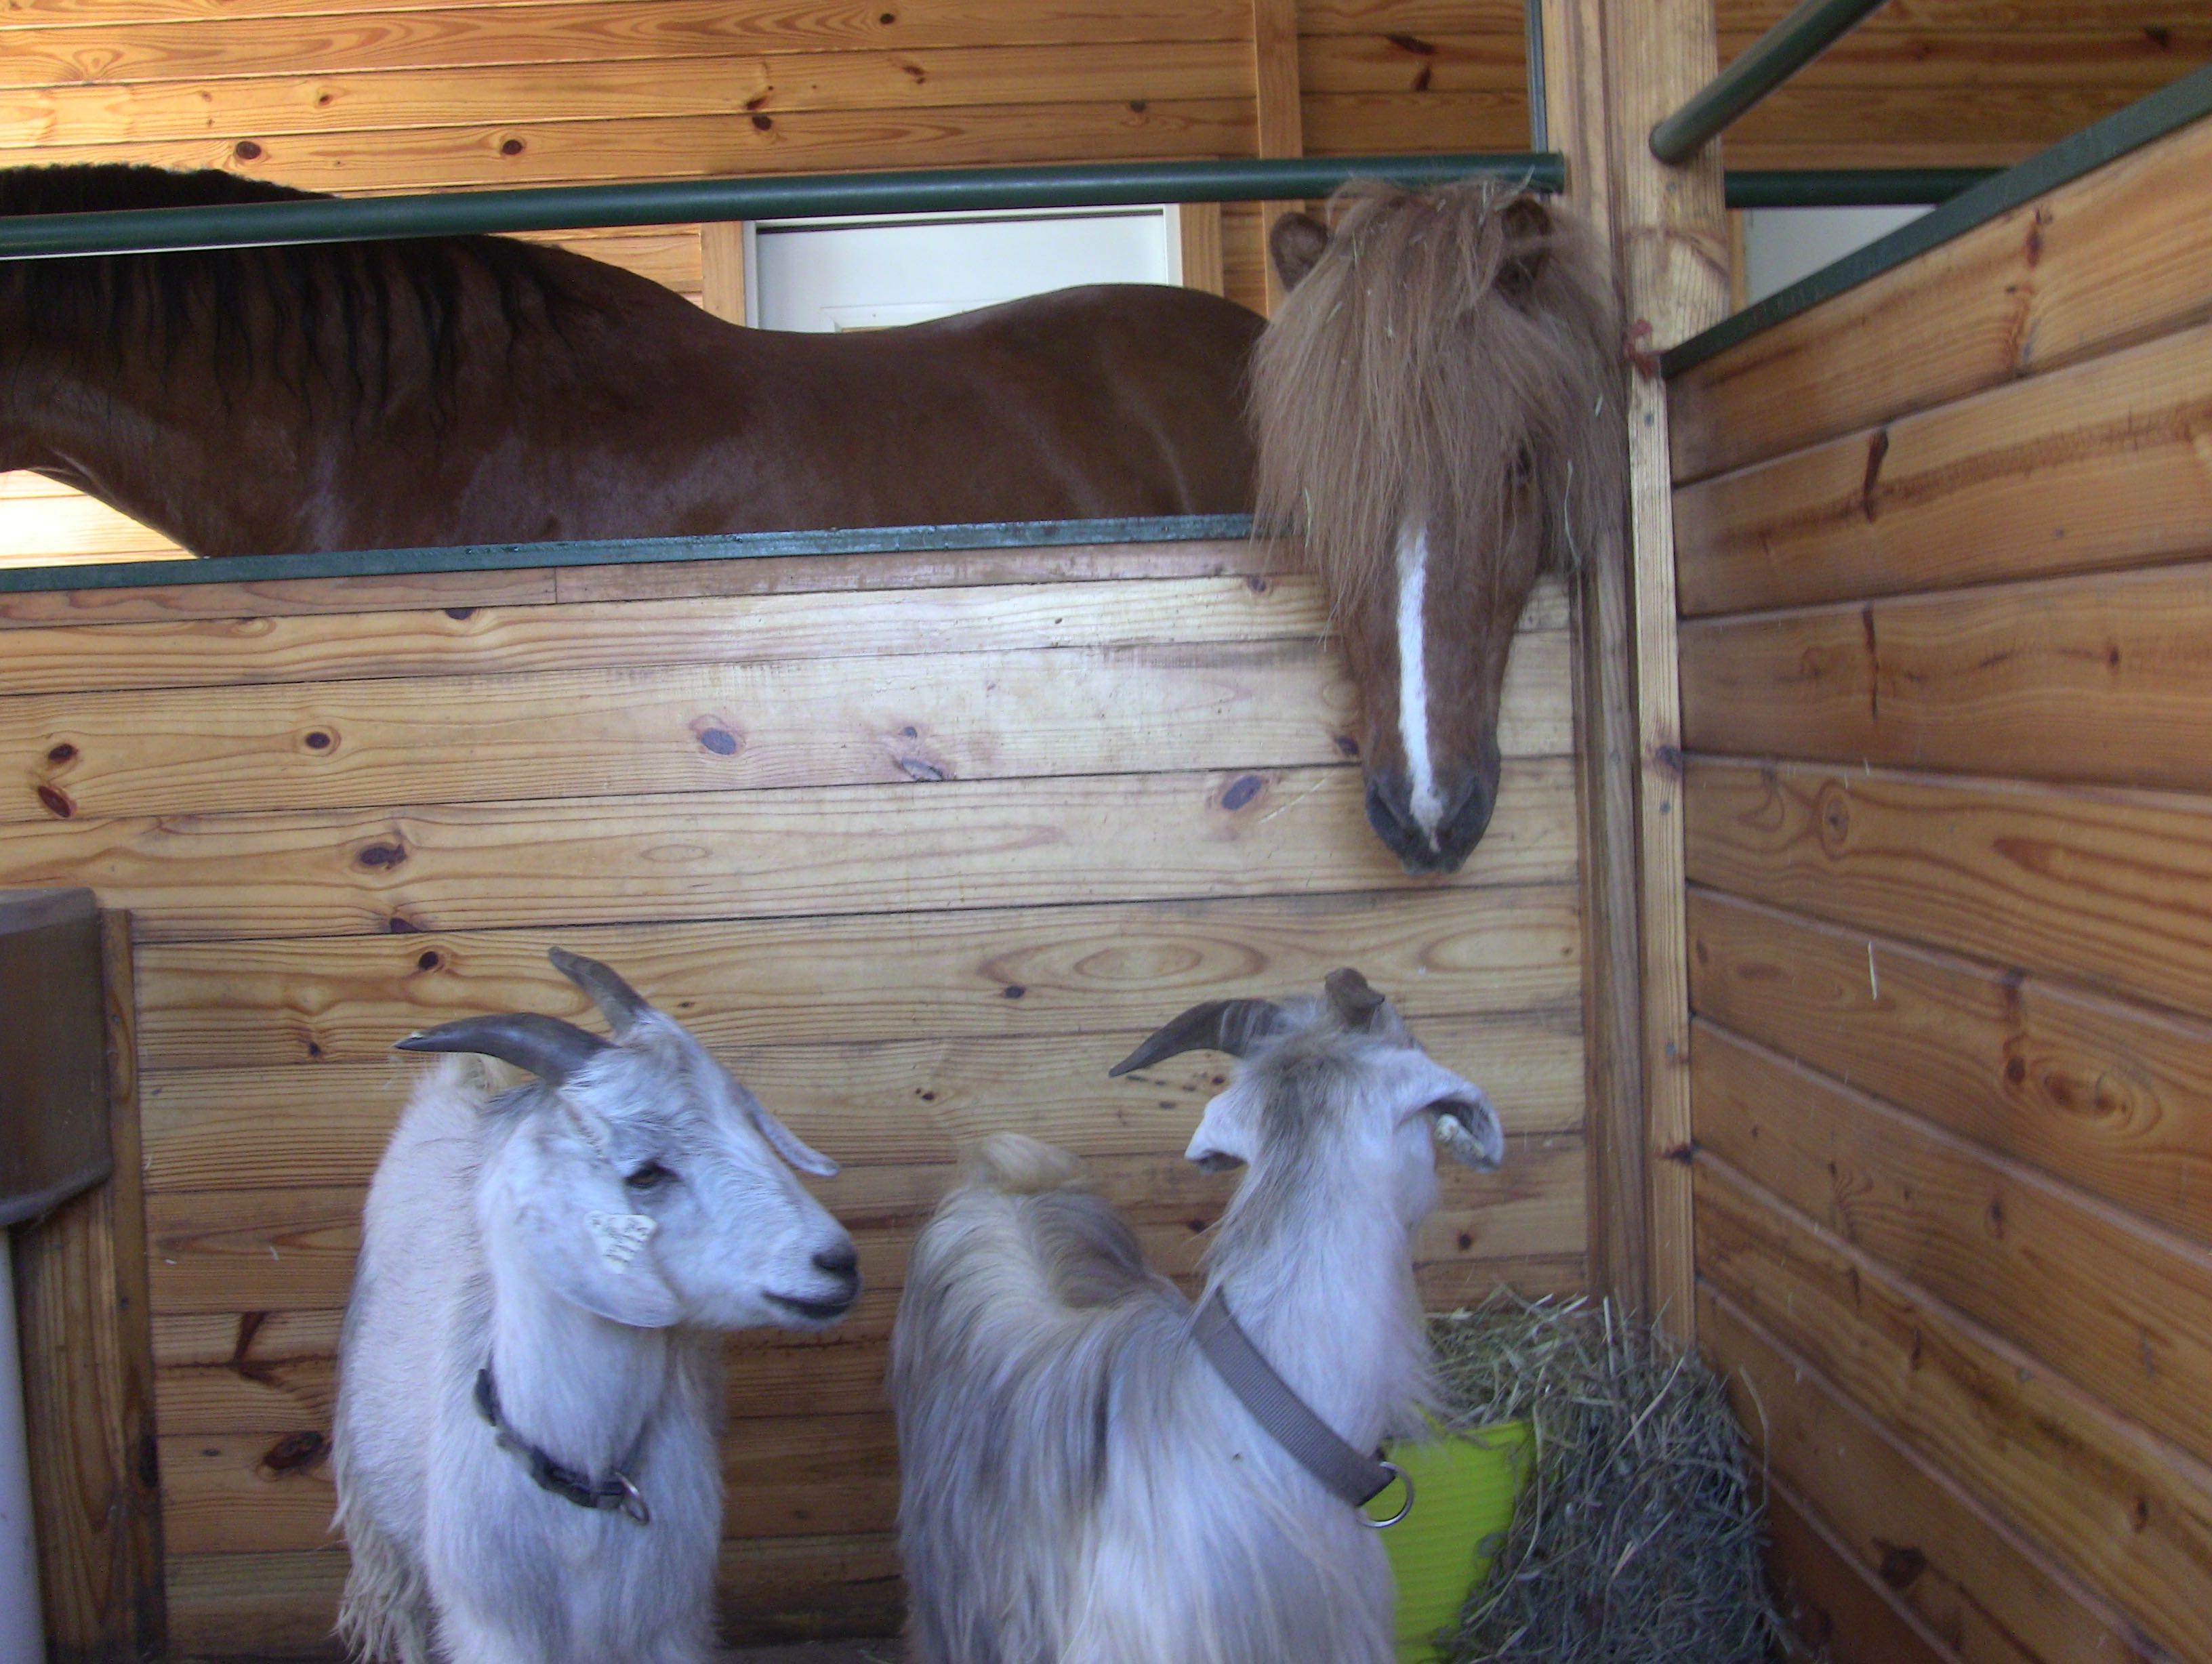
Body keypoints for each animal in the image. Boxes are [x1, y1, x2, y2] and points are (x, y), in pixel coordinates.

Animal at [332, 948, 859, 1664]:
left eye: (749, 1128)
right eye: (646, 1172)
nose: (837, 1263)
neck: (582, 1487)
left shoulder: (668, 1627)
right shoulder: (493, 1631)